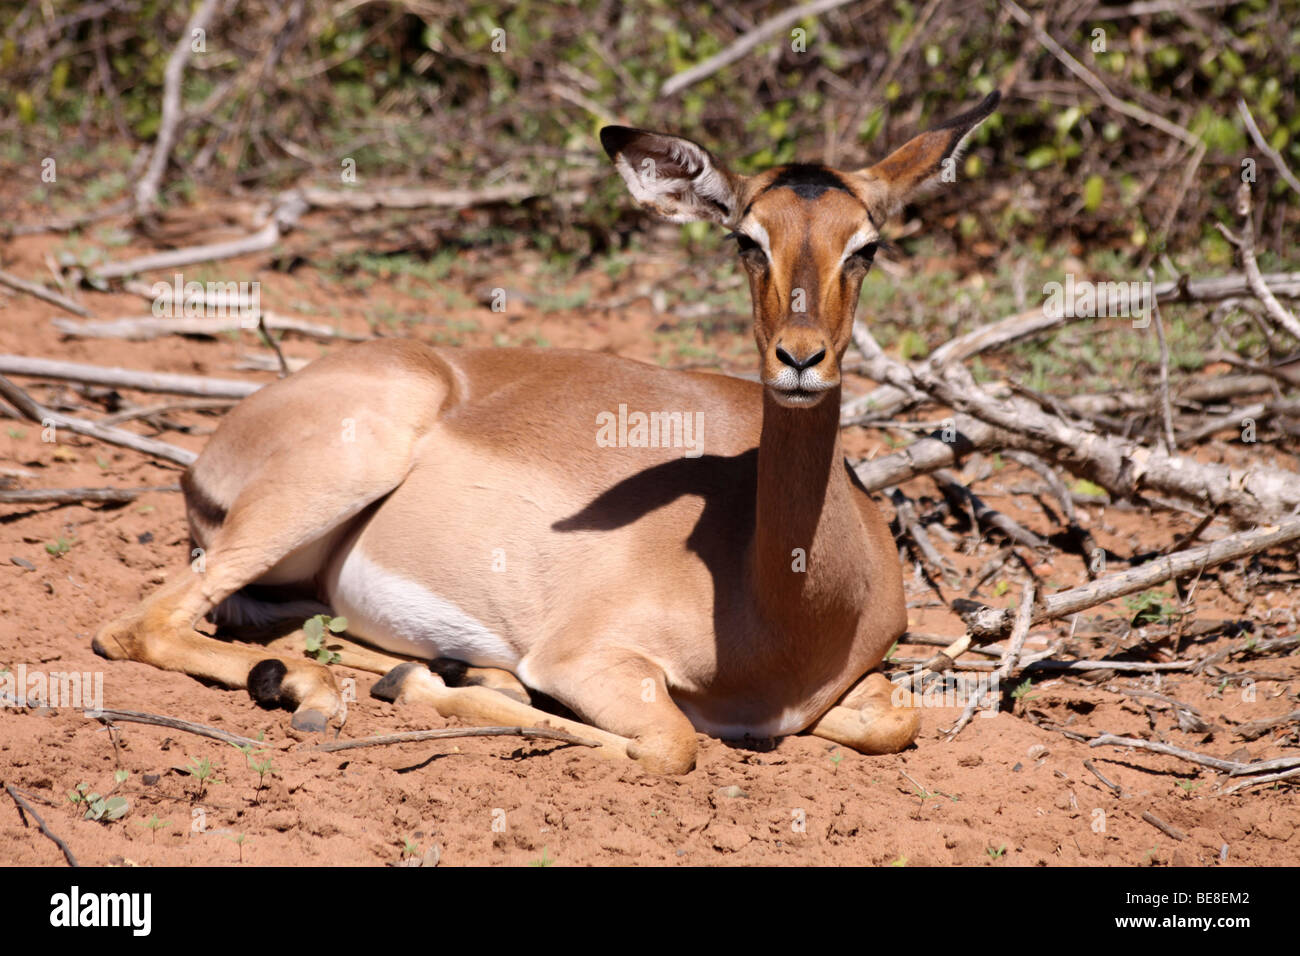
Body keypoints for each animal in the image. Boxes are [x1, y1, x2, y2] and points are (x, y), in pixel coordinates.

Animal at [94, 92, 1000, 774]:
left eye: (866, 247)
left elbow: (897, 720)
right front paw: (421, 687)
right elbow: (670, 744)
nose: (800, 360)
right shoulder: (586, 661)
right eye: (748, 239)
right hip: (333, 478)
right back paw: (326, 691)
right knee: (133, 627)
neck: (784, 607)